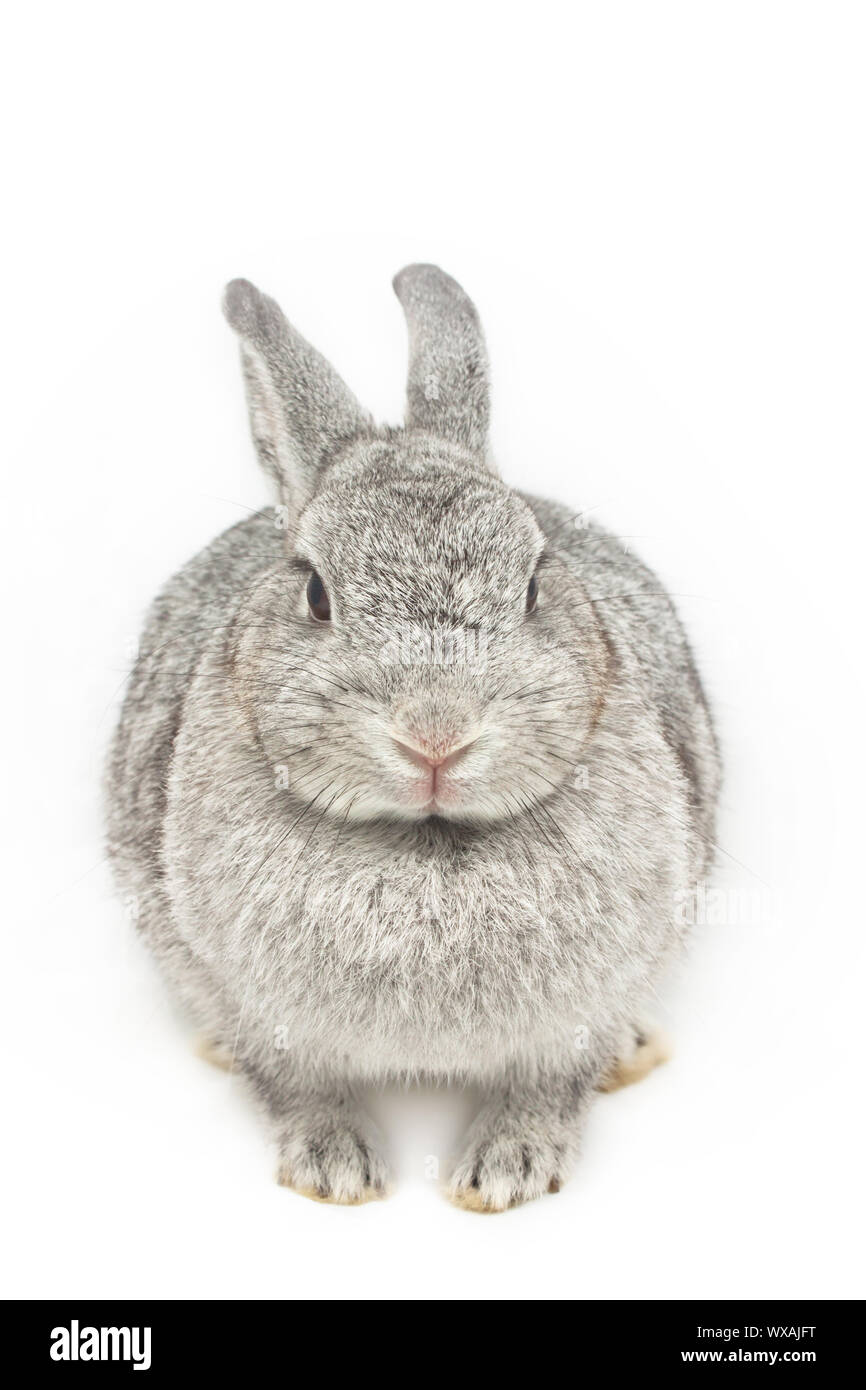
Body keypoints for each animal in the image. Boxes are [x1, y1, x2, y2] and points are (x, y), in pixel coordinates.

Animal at [106, 264, 720, 1211]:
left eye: (535, 583)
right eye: (316, 592)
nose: (437, 733)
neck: (426, 839)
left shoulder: (583, 1011)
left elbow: (550, 1086)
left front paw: (505, 1171)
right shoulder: (257, 1010)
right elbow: (295, 1085)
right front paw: (335, 1168)